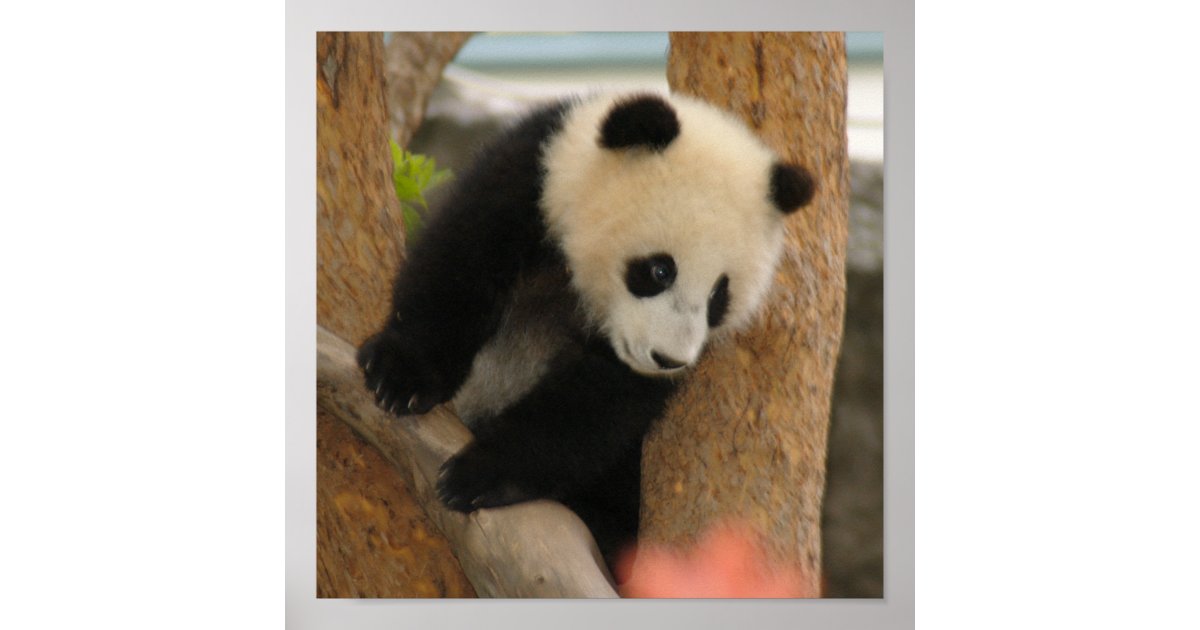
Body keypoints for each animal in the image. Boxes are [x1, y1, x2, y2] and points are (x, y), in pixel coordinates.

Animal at [357, 92, 815, 567]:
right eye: (660, 269)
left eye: (718, 296)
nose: (667, 359)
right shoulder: (533, 175)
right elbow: (460, 261)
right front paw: (400, 377)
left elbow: (597, 402)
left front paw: (480, 473)